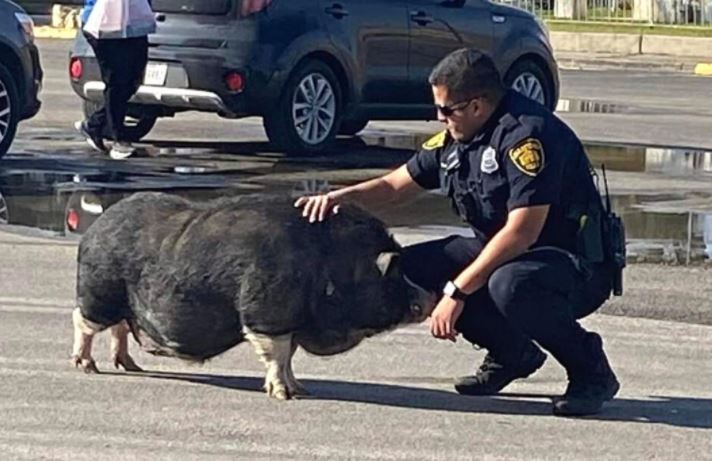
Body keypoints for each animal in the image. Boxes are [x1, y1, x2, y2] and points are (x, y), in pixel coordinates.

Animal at [71, 192, 437, 399]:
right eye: (395, 274)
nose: (429, 298)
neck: (331, 263)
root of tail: (94, 229)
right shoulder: (268, 312)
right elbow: (276, 354)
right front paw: (284, 395)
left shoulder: (291, 321)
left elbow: (288, 358)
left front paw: (302, 390)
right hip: (97, 292)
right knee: (83, 322)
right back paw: (87, 367)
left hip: (119, 303)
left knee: (119, 327)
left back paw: (130, 366)